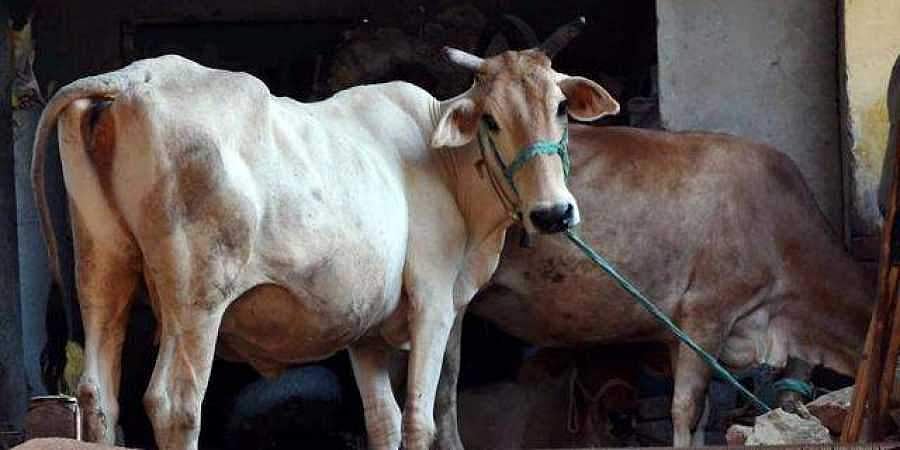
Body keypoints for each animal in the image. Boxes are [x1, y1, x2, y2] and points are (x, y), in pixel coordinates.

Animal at [30, 23, 618, 450]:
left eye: (561, 108)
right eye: (491, 119)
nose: (553, 213)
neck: (443, 164)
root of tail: (132, 79)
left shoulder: (365, 331)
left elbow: (383, 421)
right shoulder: (432, 302)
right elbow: (421, 420)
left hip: (102, 269)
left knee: (98, 397)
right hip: (196, 299)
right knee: (175, 404)